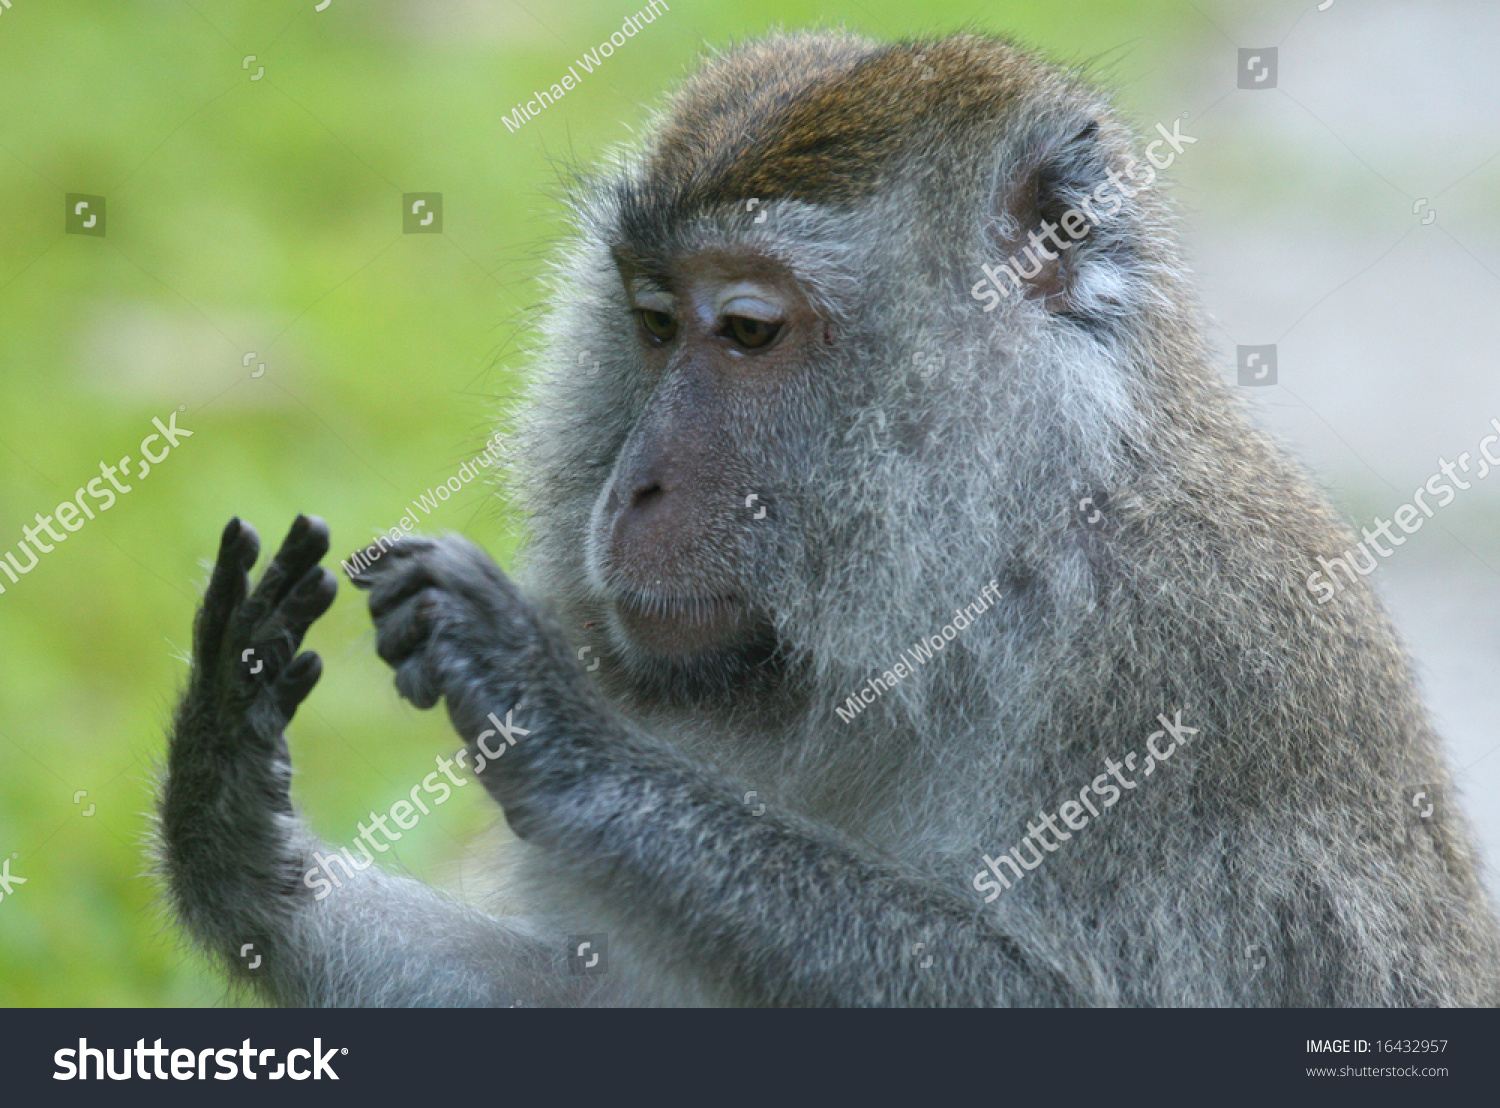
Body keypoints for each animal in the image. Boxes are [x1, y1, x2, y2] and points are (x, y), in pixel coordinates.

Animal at [159, 30, 1500, 1006]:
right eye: (655, 323)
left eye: (748, 329)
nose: (632, 486)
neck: (995, 563)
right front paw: (239, 835)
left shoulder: (1176, 666)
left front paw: (563, 732)